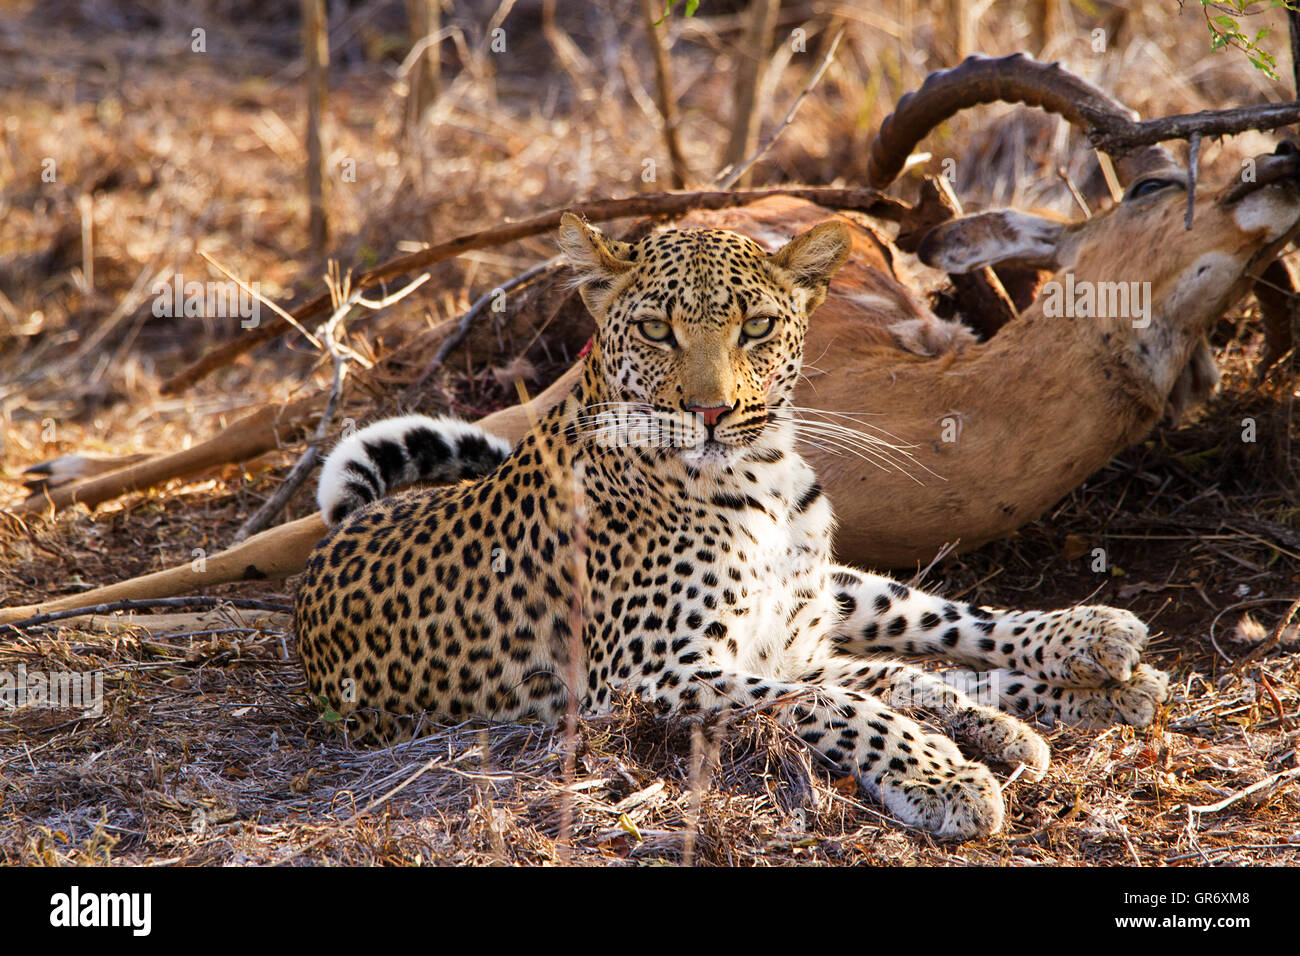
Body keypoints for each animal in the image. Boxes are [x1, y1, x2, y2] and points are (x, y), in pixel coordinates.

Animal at [294, 213, 1171, 840]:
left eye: (756, 327)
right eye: (655, 329)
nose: (710, 412)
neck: (762, 482)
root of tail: (350, 524)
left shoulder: (767, 646)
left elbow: (884, 675)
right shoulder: (651, 675)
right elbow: (831, 703)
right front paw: (942, 778)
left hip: (835, 595)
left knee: (945, 629)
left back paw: (1098, 649)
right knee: (903, 673)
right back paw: (1054, 707)